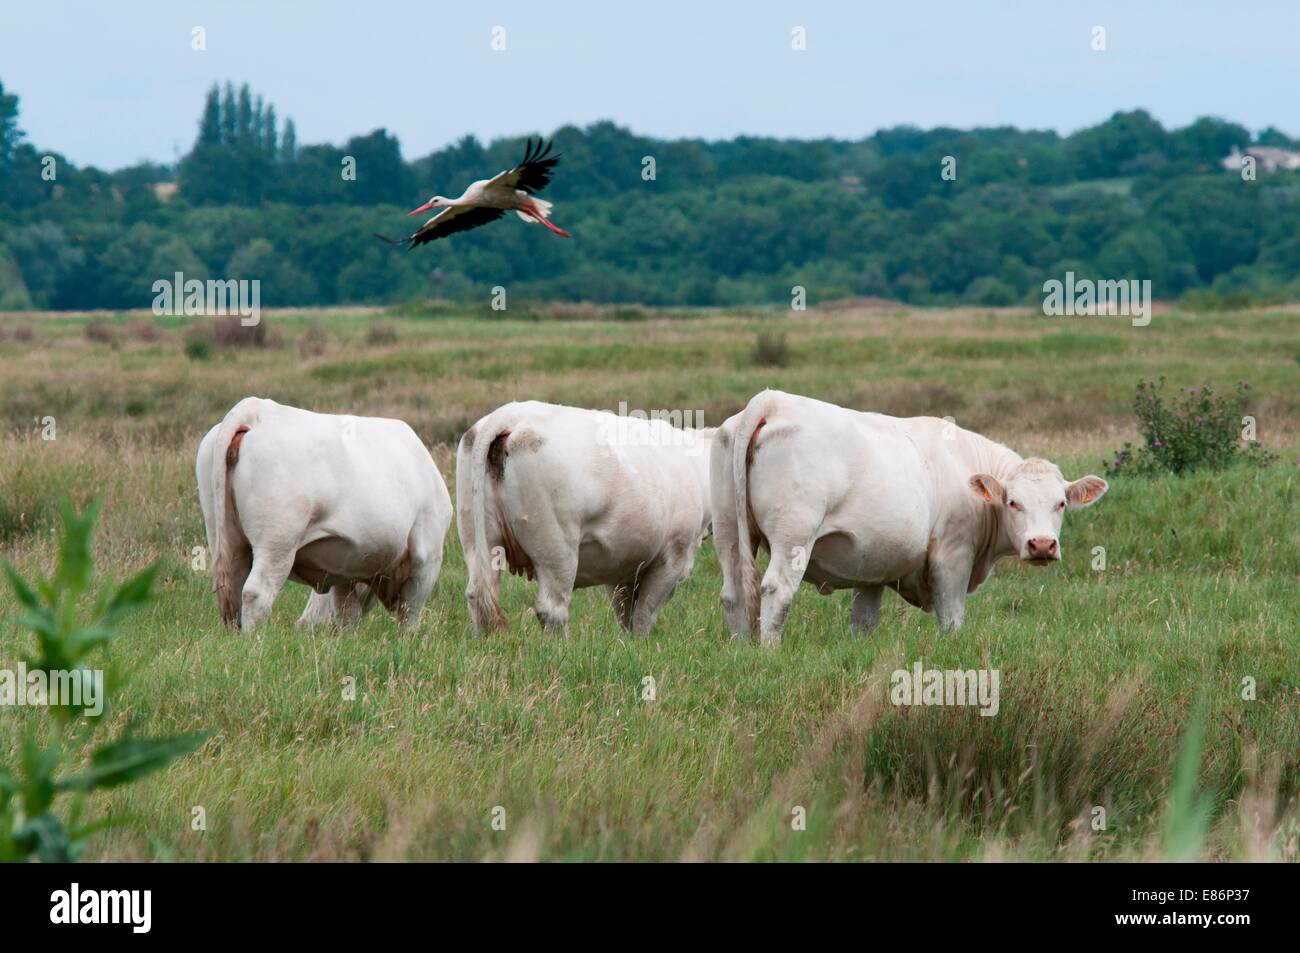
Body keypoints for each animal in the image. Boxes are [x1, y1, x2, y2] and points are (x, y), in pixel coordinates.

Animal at [196, 397, 452, 629]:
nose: (305, 624)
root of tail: (258, 408)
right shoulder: (426, 557)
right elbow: (409, 615)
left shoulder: (345, 568)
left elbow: (348, 613)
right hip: (277, 538)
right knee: (256, 592)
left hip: (224, 535)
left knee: (231, 592)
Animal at [456, 401, 714, 634]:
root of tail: (508, 414)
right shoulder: (673, 557)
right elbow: (645, 616)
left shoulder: (621, 566)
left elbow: (626, 616)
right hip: (556, 547)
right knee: (552, 609)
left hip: (477, 538)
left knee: (479, 596)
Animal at [711, 389, 1108, 646]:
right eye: (1013, 502)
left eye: (1061, 504)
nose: (1042, 545)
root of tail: (771, 401)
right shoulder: (953, 556)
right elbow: (952, 618)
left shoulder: (870, 566)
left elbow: (864, 621)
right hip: (793, 535)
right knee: (775, 590)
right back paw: (769, 652)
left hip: (728, 531)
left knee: (734, 594)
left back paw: (741, 651)